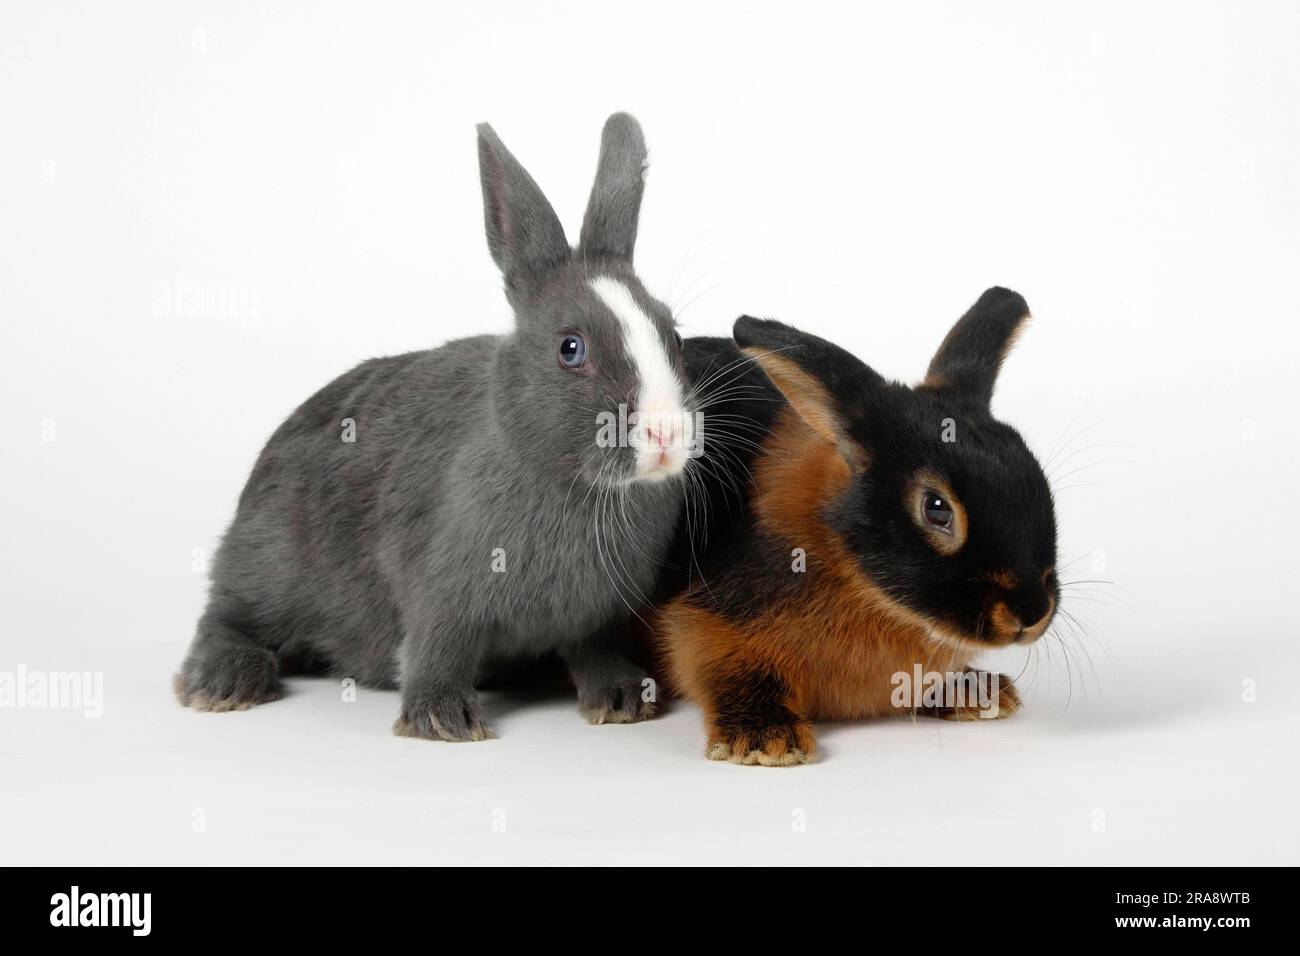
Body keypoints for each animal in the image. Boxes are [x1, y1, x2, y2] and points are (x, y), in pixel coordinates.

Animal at [175, 113, 700, 740]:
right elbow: (437, 644)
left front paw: (622, 698)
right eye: (571, 349)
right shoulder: (439, 588)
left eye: (673, 335)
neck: (576, 489)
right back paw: (224, 684)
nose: (666, 435)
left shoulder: (596, 616)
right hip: (266, 562)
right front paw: (443, 719)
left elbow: (593, 650)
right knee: (224, 614)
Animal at [656, 288, 1060, 765]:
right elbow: (725, 668)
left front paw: (978, 693)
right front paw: (765, 741)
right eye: (936, 509)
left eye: (1037, 478)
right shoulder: (707, 623)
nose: (1031, 612)